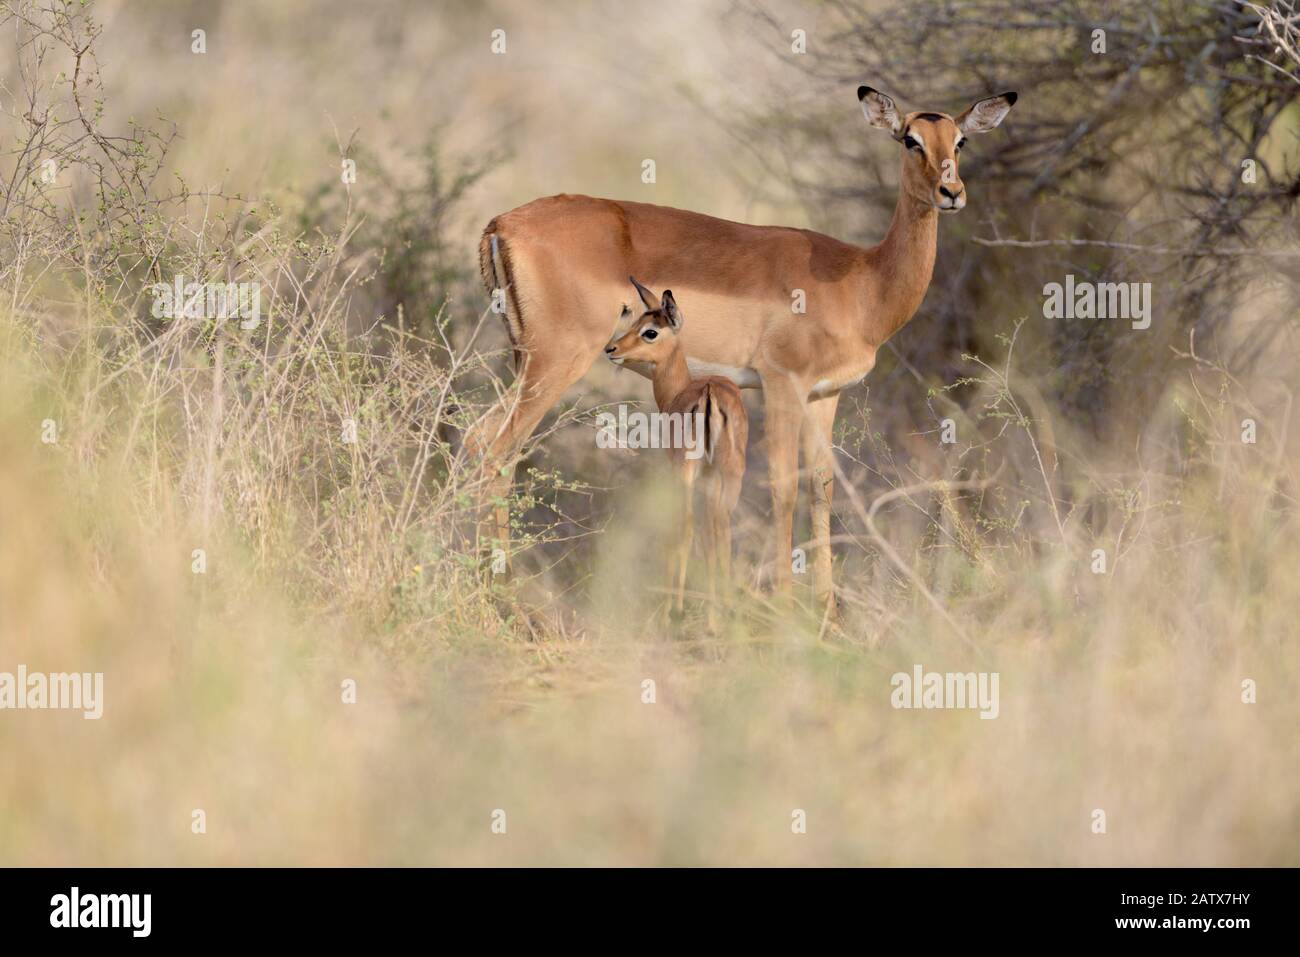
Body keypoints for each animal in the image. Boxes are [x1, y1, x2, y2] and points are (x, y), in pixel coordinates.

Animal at [604, 279, 748, 625]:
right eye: (635, 321)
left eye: (650, 331)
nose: (611, 349)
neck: (678, 392)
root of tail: (709, 394)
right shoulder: (710, 480)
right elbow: (710, 537)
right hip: (730, 473)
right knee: (721, 527)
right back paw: (720, 613)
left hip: (685, 472)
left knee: (686, 526)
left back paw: (677, 609)